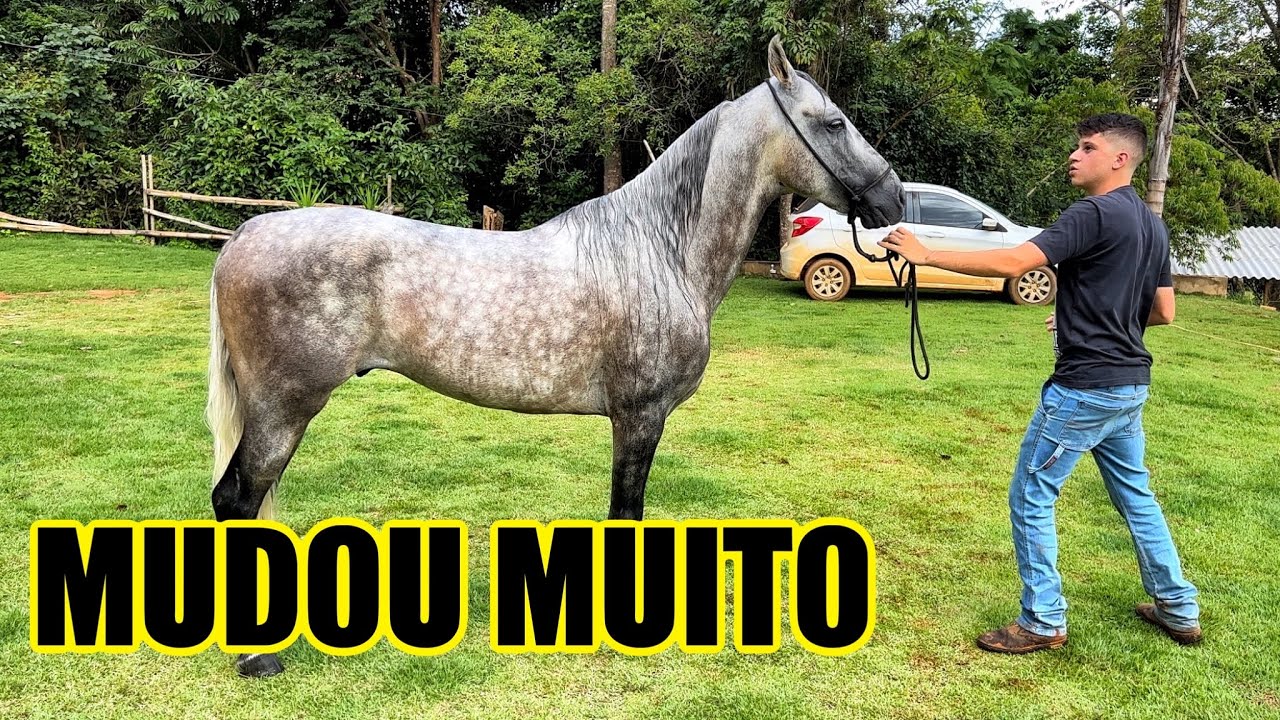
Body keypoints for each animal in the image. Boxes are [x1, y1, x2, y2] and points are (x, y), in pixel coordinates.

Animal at [206, 36, 904, 676]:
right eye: (832, 122)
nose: (893, 201)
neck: (659, 249)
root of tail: (244, 233)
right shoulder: (639, 415)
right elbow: (626, 512)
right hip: (283, 408)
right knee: (236, 500)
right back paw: (257, 658)